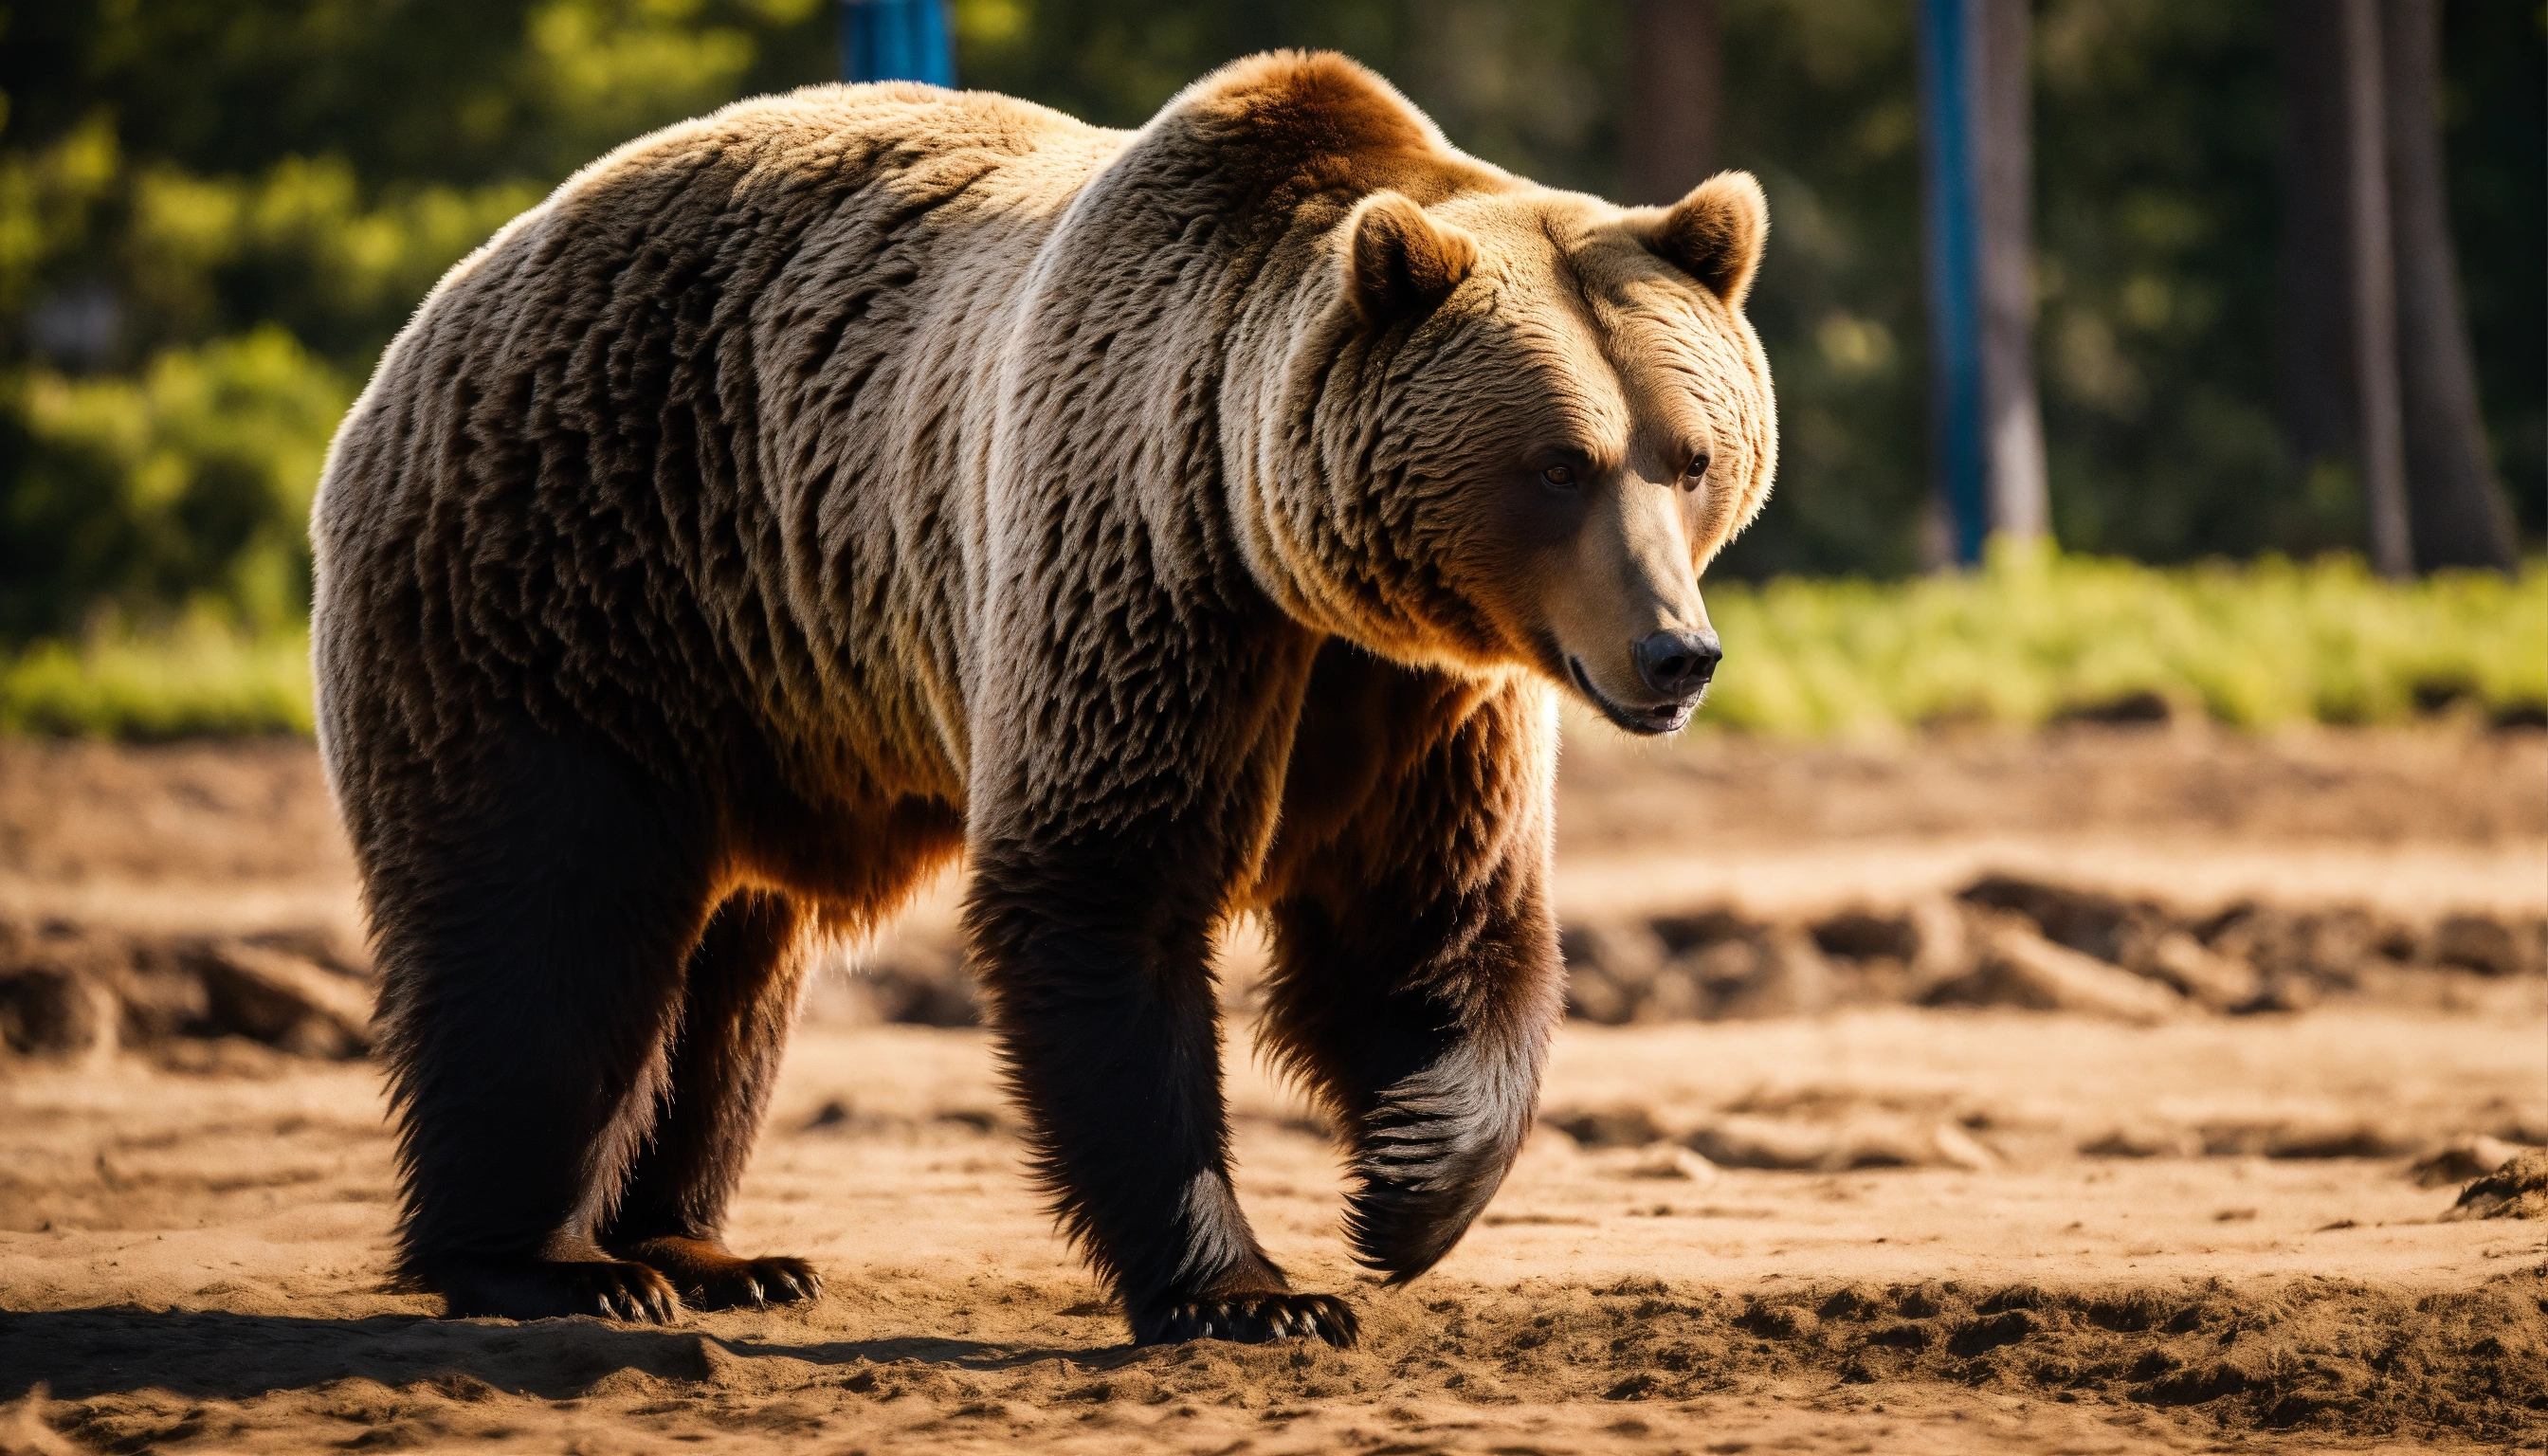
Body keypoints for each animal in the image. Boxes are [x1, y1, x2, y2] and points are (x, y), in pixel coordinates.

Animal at [310, 51, 1774, 1348]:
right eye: (1559, 464)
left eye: (1692, 453)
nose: (1675, 653)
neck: (1299, 572)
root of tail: (450, 296)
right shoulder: (1142, 563)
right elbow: (1105, 893)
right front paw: (1253, 1292)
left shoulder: (1423, 699)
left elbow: (1435, 917)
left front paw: (1405, 1184)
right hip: (575, 586)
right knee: (552, 921)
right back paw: (556, 1266)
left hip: (759, 699)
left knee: (730, 972)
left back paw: (709, 1252)